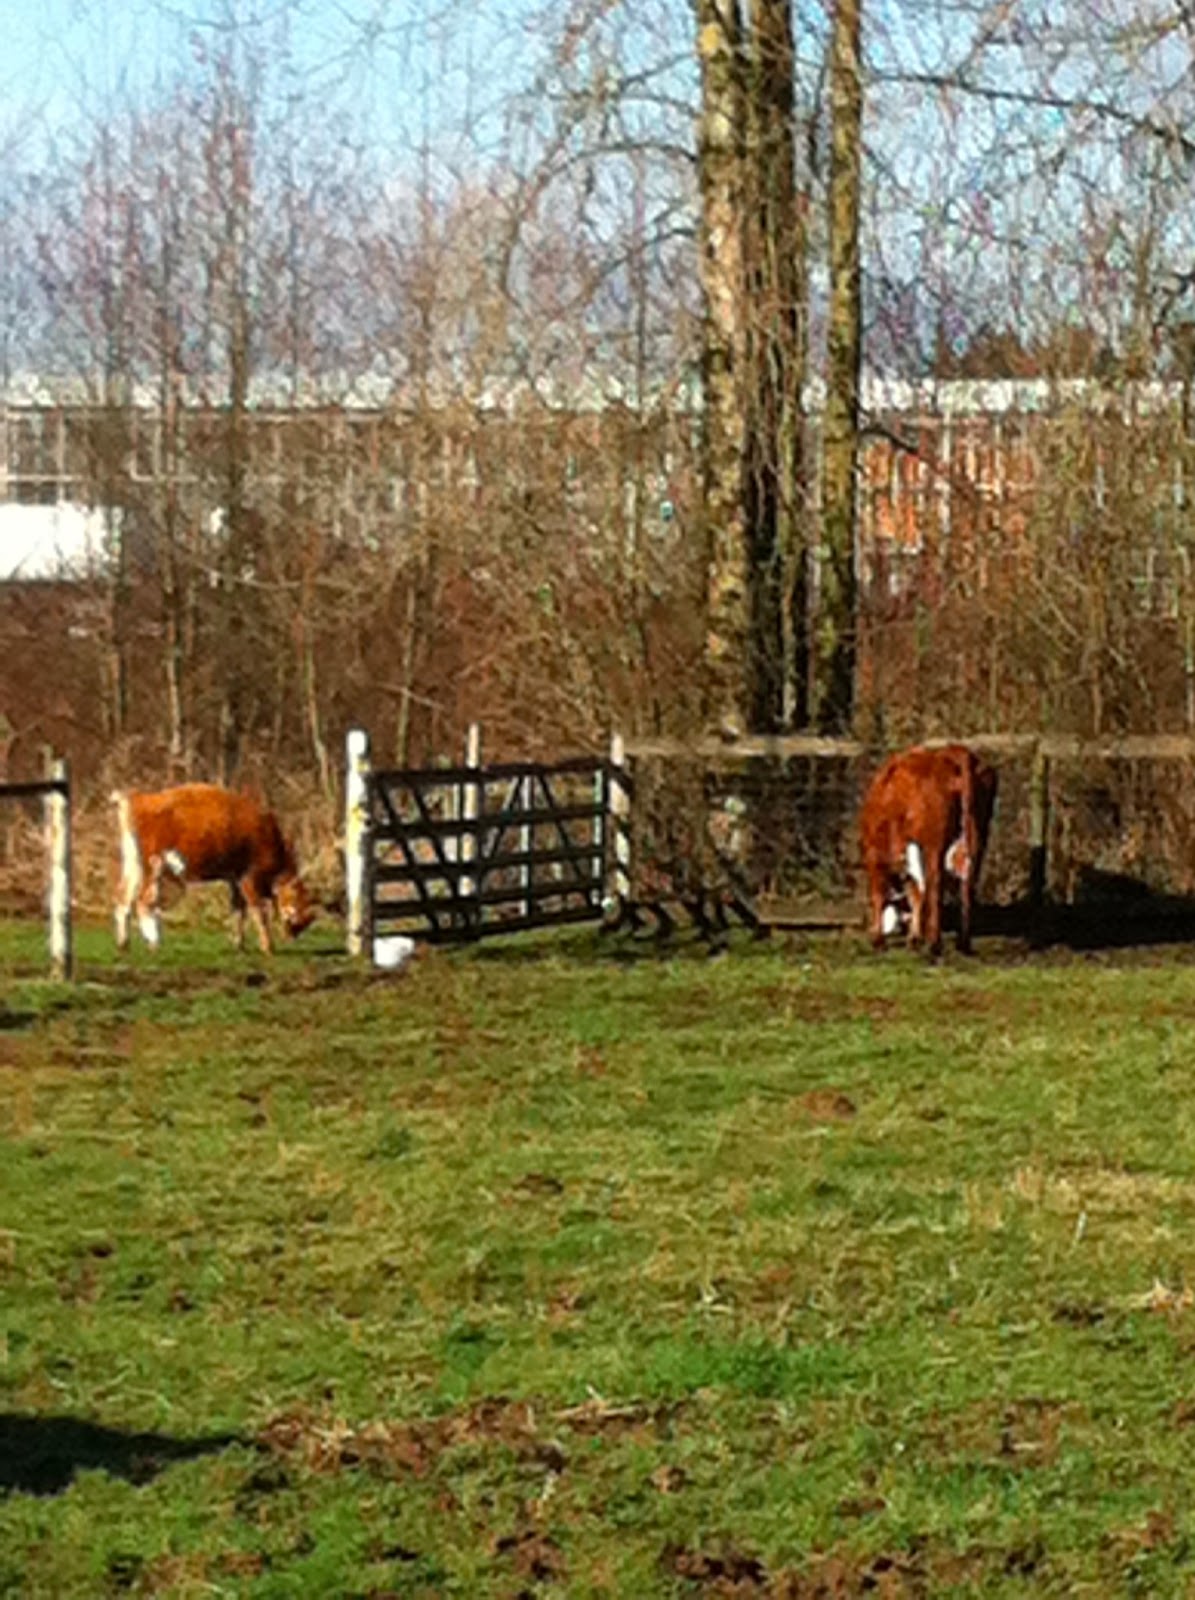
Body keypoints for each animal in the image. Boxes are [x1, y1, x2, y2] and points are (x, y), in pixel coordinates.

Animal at [113, 783, 315, 953]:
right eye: (298, 905)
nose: (293, 935)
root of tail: (140, 798)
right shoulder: (250, 877)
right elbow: (258, 912)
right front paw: (268, 947)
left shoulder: (235, 879)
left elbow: (238, 910)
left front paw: (239, 944)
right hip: (155, 868)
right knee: (143, 901)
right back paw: (154, 943)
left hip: (134, 866)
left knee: (123, 899)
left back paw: (124, 944)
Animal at [859, 743, 998, 957]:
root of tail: (955, 752)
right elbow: (916, 892)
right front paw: (914, 937)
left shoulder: (876, 854)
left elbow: (880, 894)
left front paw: (878, 940)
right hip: (978, 836)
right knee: (967, 884)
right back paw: (962, 943)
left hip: (934, 845)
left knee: (935, 884)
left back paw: (934, 944)